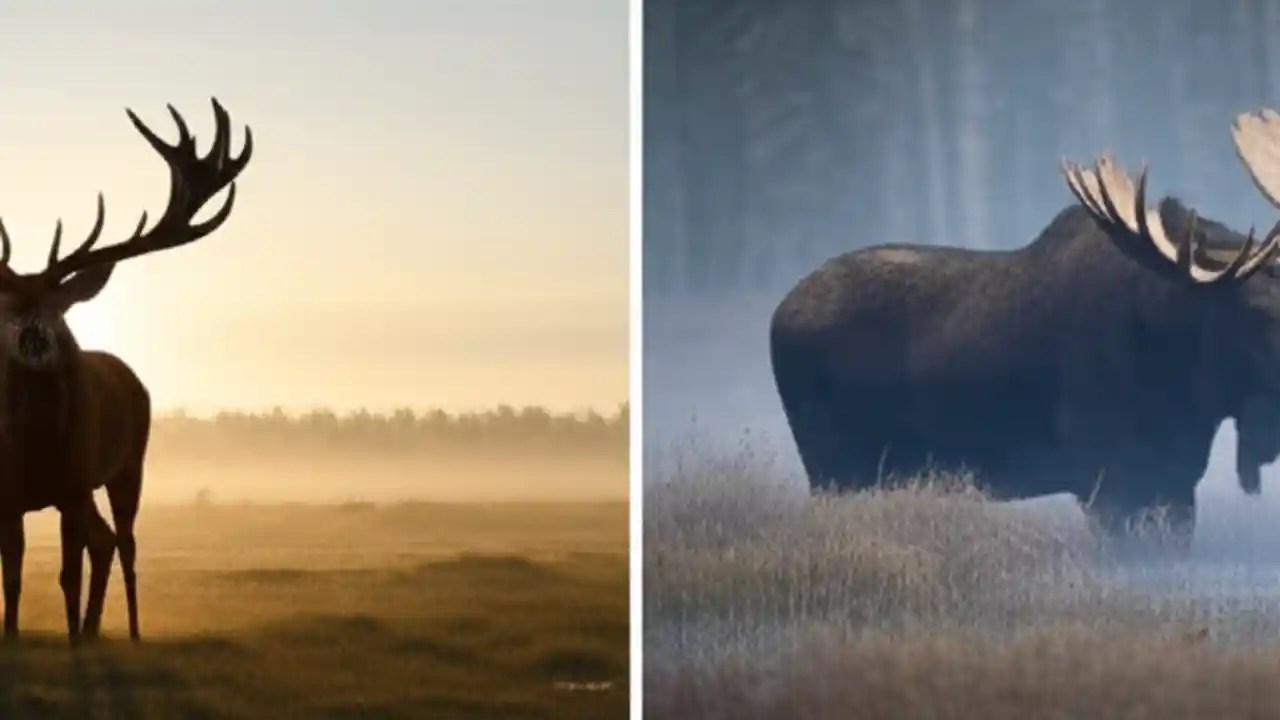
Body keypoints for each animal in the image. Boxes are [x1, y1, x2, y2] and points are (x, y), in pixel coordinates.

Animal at [0, 98, 252, 644]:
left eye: (59, 308)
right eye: (4, 311)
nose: (34, 338)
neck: (35, 442)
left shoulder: (74, 484)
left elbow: (66, 575)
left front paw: (73, 643)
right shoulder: (6, 490)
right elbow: (13, 576)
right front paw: (12, 638)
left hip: (129, 465)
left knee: (125, 541)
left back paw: (127, 632)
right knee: (106, 540)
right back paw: (97, 628)